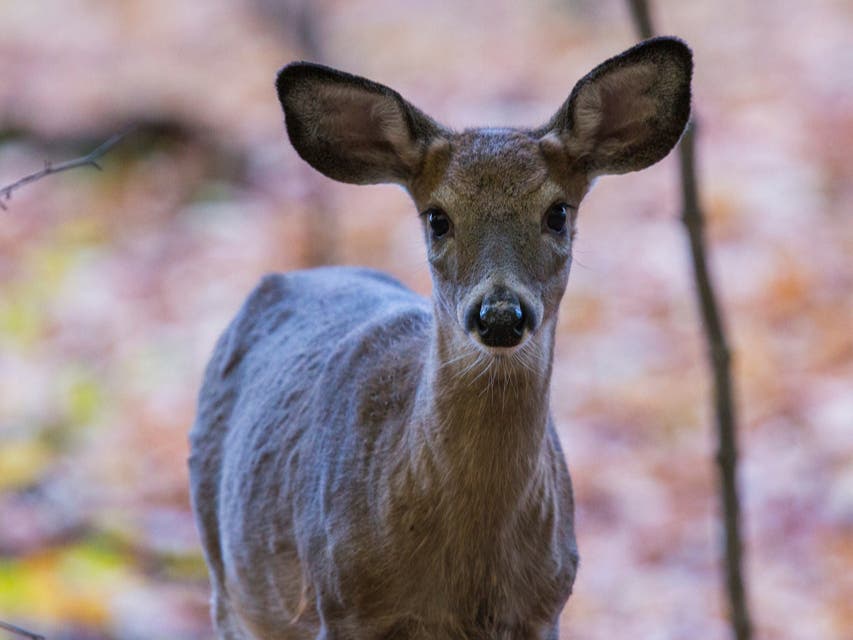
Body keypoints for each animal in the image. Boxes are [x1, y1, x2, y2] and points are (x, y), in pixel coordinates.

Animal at [189, 36, 692, 640]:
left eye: (557, 213)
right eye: (437, 218)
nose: (499, 315)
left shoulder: (547, 604)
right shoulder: (341, 604)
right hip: (226, 579)